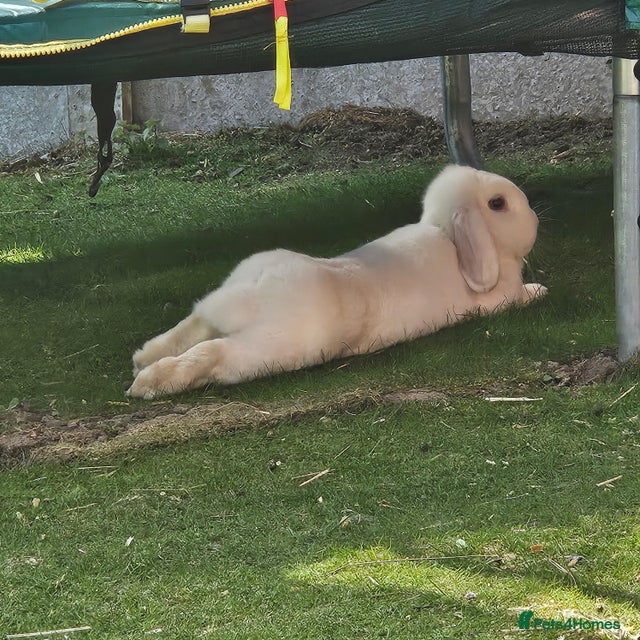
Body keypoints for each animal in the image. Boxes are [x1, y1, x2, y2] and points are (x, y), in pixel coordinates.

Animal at [127, 165, 547, 399]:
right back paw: (149, 383)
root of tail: (254, 294)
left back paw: (142, 360)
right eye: (498, 204)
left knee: (192, 326)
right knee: (211, 352)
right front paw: (539, 290)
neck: (449, 236)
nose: (534, 214)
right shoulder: (499, 298)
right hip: (267, 349)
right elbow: (520, 296)